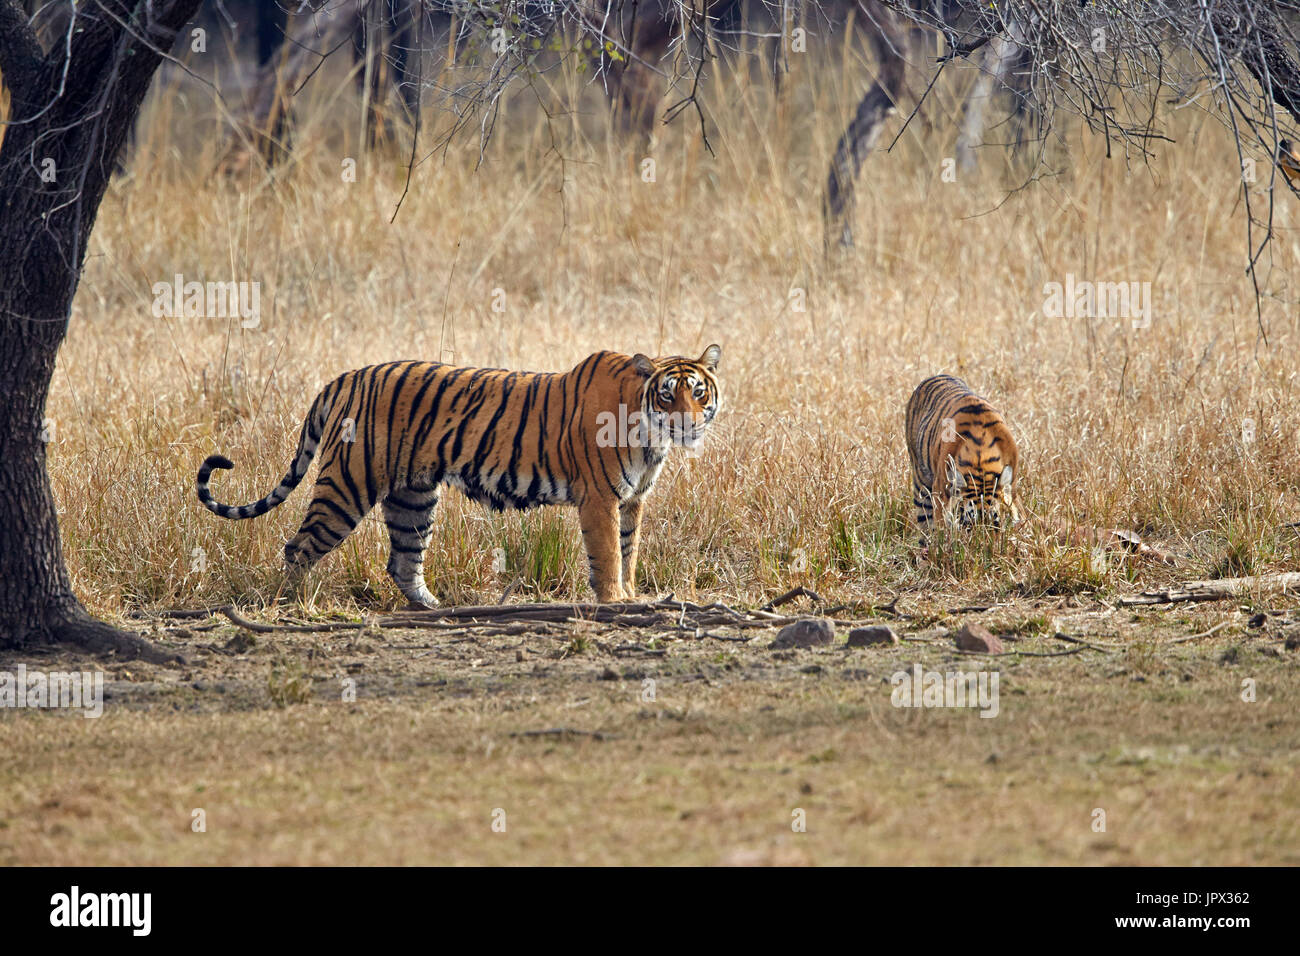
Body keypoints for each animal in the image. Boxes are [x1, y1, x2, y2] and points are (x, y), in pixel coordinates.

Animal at [196, 347, 722, 607]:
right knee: (299, 547)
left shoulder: (631, 500)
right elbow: (609, 554)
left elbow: (629, 552)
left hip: (412, 497)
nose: (689, 423)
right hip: (347, 485)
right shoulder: (600, 499)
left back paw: (437, 610)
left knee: (403, 561)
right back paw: (297, 605)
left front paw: (631, 595)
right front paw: (615, 602)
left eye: (698, 391)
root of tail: (343, 378)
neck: (650, 436)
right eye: (668, 395)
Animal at [904, 374, 1019, 540]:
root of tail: (938, 375)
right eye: (968, 525)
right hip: (922, 483)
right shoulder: (940, 491)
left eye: (995, 523)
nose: (984, 545)